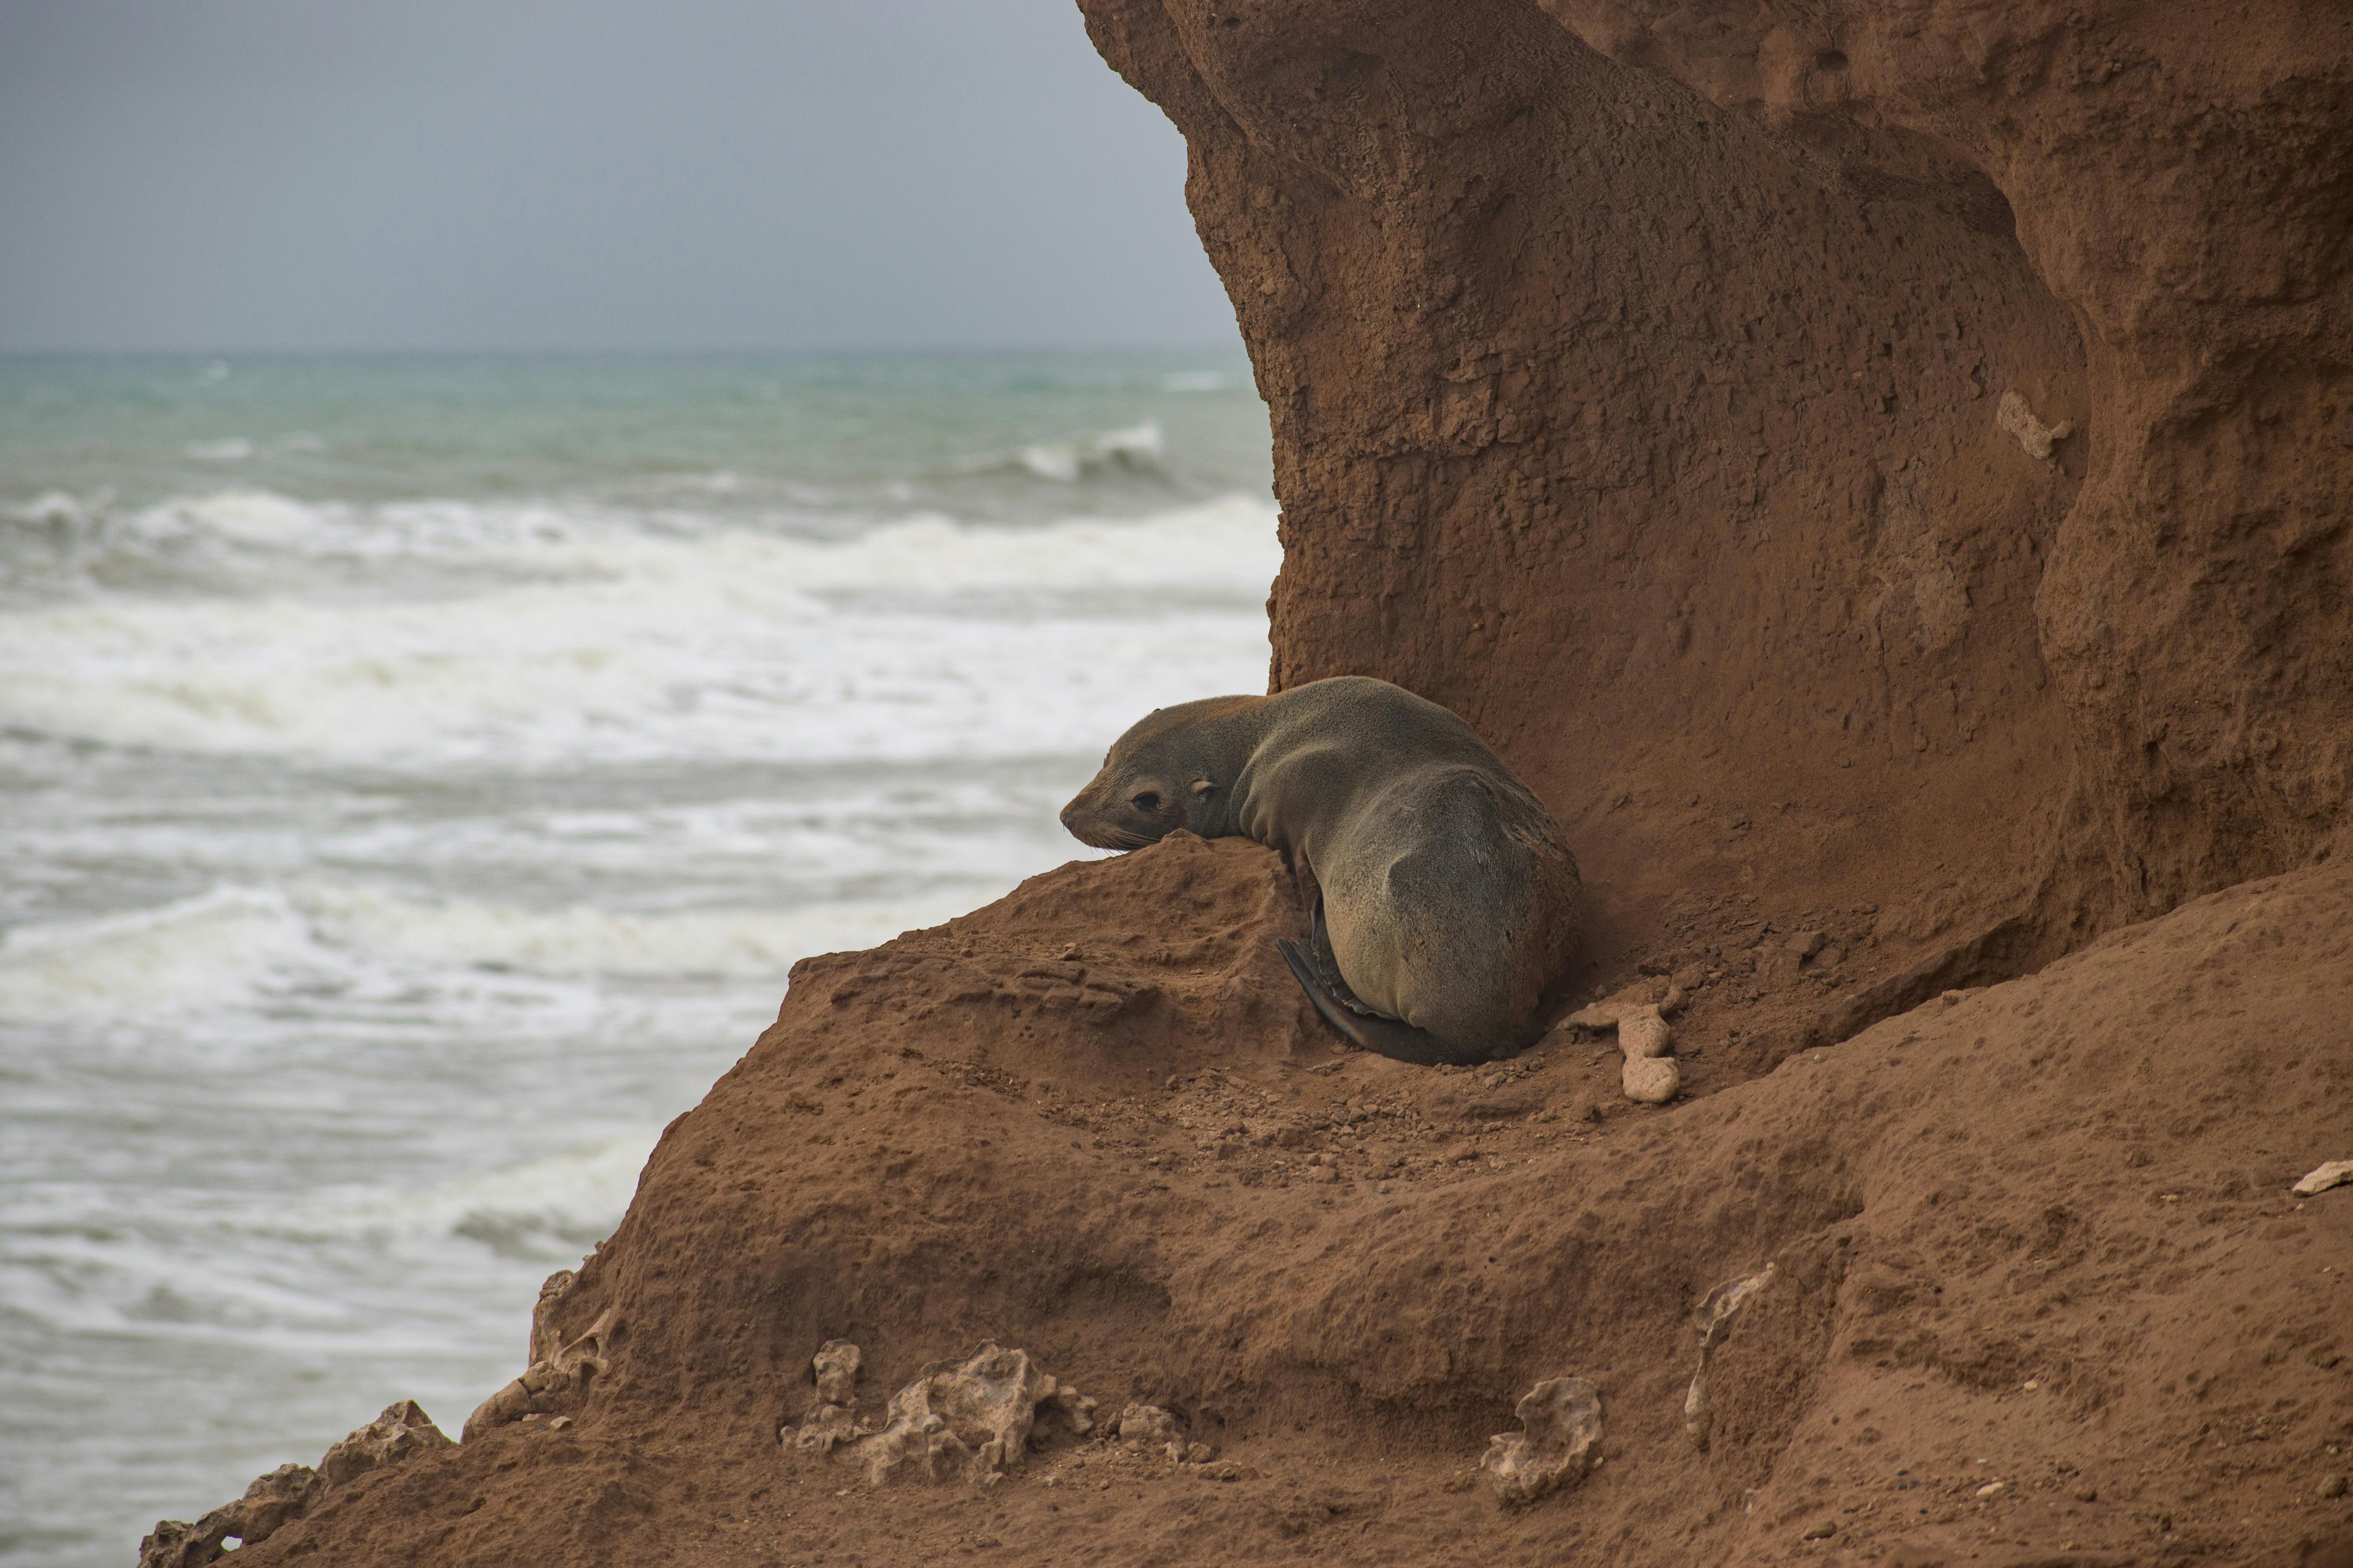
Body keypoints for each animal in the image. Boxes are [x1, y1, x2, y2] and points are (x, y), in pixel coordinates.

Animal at [1059, 675, 1580, 1065]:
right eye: (1106, 758)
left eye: (1146, 800)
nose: (1069, 815)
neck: (1262, 736)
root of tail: (1478, 1028)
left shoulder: (1288, 806)